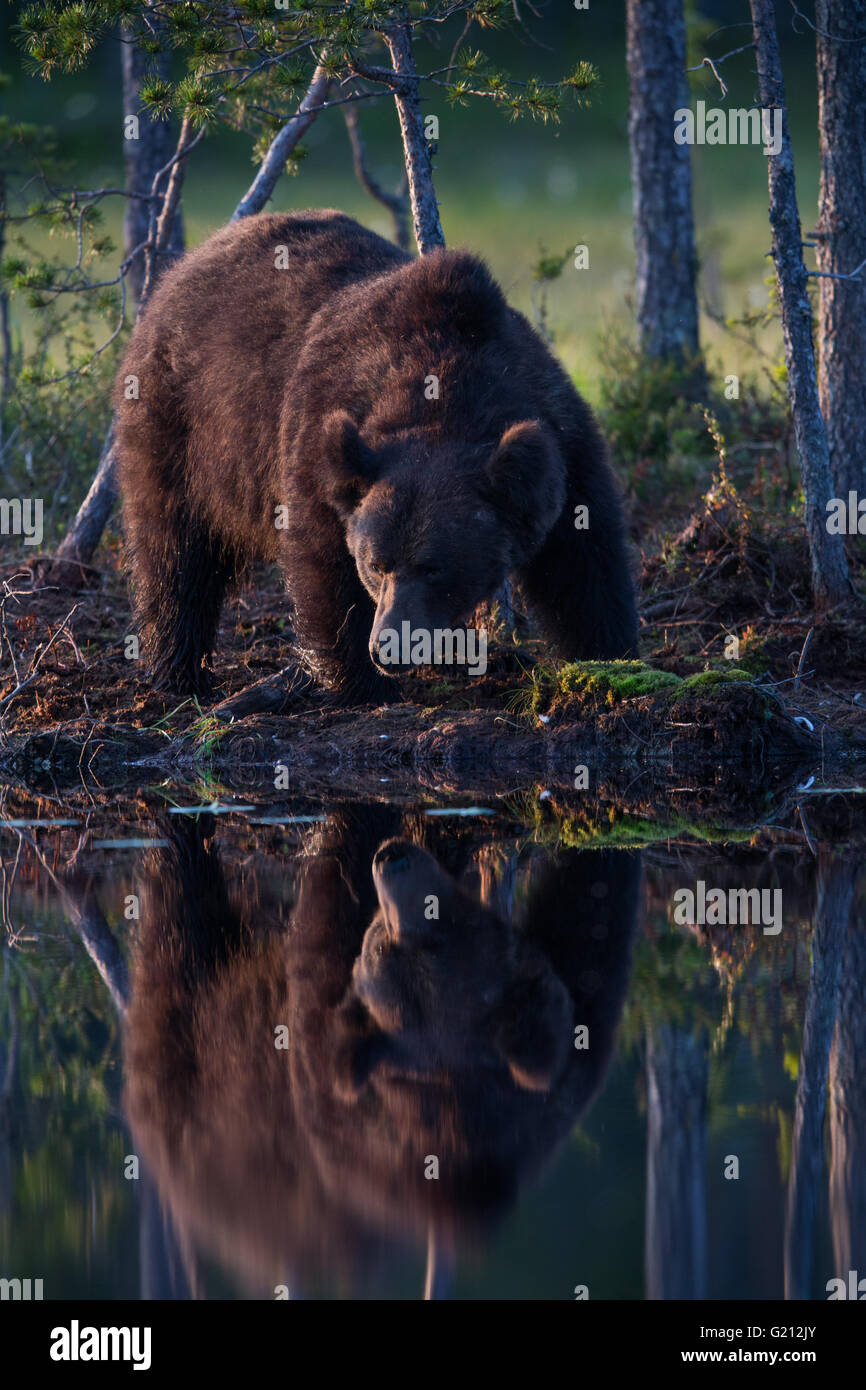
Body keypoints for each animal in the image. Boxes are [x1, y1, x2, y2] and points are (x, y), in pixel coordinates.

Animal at [116, 210, 638, 705]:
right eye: (375, 564)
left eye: (433, 567)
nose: (390, 645)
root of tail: (187, 262)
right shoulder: (323, 446)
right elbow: (325, 569)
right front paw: (363, 685)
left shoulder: (561, 439)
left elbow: (584, 562)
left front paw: (608, 659)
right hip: (183, 425)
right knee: (176, 549)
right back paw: (178, 670)